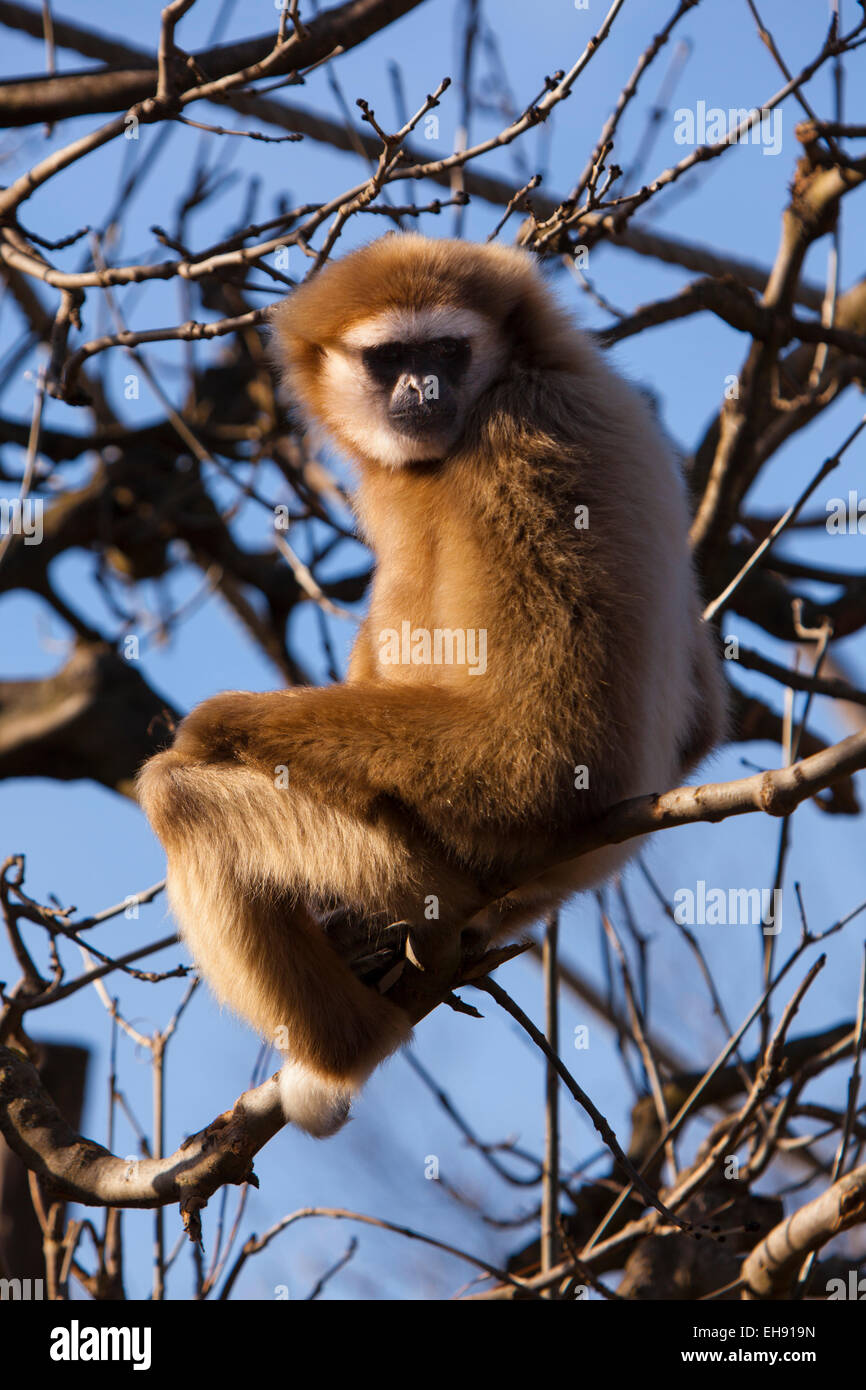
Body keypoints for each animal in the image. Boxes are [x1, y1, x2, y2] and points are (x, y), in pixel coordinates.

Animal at [137, 234, 726, 1138]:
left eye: (447, 351)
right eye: (391, 359)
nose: (424, 388)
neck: (528, 368)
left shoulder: (530, 439)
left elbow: (554, 752)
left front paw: (216, 721)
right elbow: (702, 720)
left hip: (422, 867)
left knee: (181, 798)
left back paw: (341, 1051)